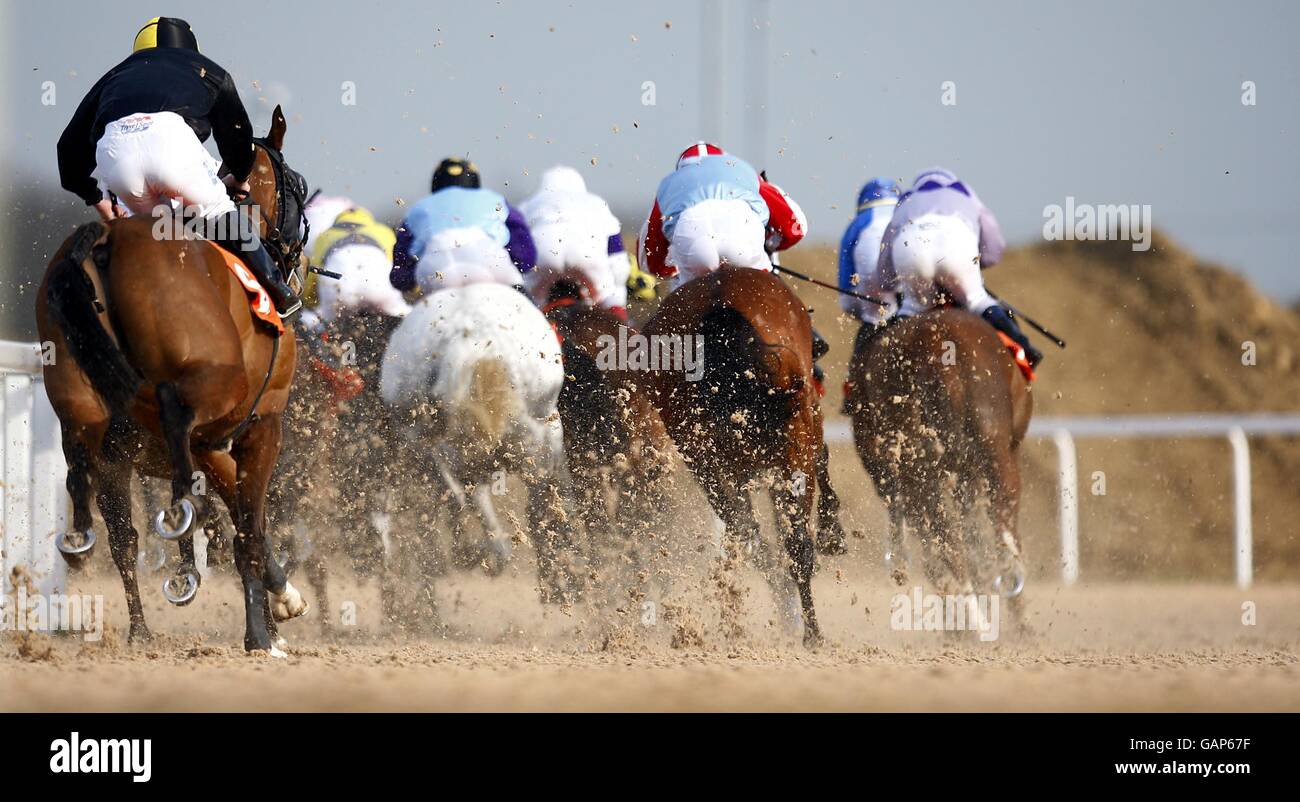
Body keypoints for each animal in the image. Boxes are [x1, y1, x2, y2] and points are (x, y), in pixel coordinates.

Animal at [36, 105, 310, 655]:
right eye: (298, 184)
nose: (297, 259)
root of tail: (103, 240)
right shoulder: (260, 424)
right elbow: (250, 527)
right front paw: (262, 634)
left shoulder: (212, 445)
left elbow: (247, 524)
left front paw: (275, 609)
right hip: (203, 391)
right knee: (171, 411)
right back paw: (184, 518)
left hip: (83, 411)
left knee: (101, 496)